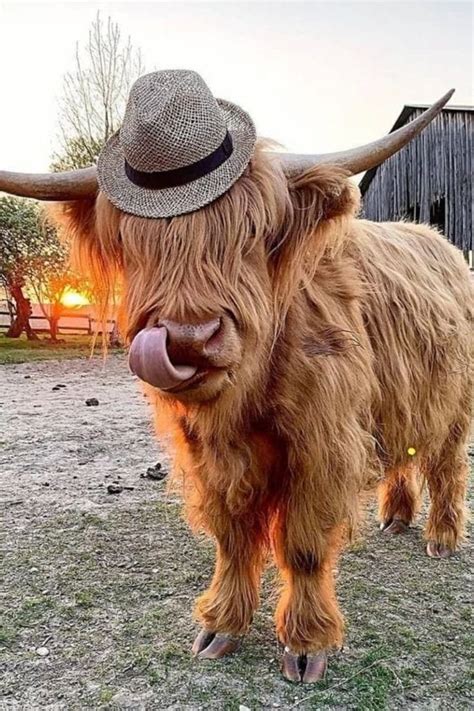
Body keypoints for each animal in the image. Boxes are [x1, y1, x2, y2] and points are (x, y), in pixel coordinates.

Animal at [1, 76, 471, 684]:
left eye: (255, 232)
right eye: (132, 239)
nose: (188, 340)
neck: (246, 399)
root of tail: (437, 239)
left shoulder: (321, 446)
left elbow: (303, 544)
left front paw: (305, 644)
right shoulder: (209, 454)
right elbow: (231, 537)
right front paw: (221, 626)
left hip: (456, 406)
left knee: (447, 465)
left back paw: (441, 537)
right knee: (405, 455)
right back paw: (394, 517)